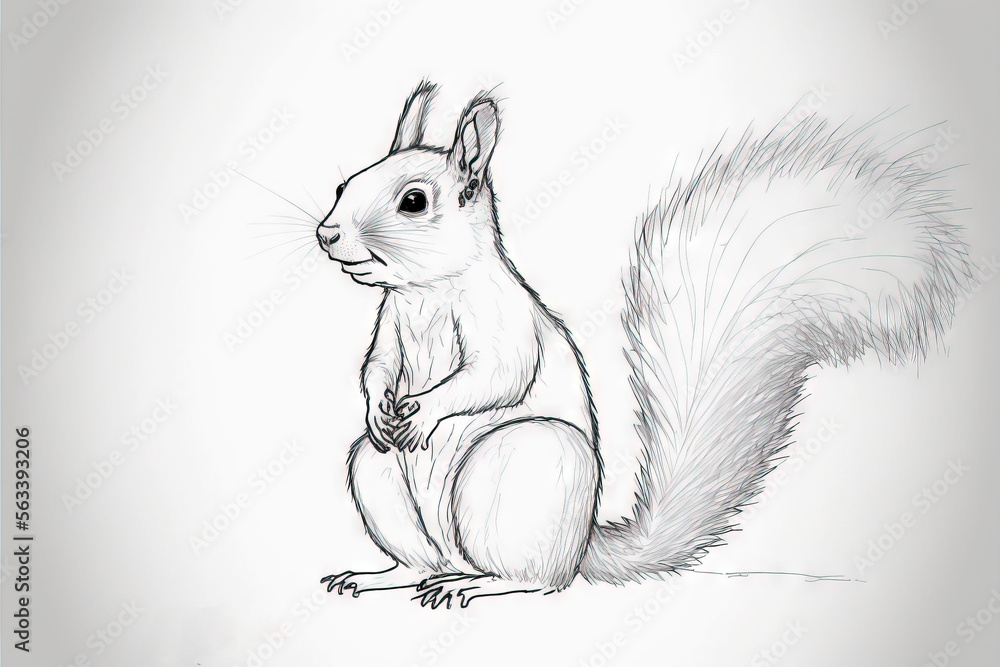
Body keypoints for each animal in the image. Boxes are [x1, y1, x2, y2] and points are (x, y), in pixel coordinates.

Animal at [316, 81, 970, 608]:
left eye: (414, 201)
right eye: (345, 182)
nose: (327, 234)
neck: (426, 294)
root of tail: (581, 545)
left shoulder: (503, 322)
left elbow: (497, 373)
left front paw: (424, 410)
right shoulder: (389, 326)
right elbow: (376, 368)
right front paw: (379, 406)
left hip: (521, 463)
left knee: (538, 580)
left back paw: (476, 584)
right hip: (376, 475)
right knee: (415, 554)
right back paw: (378, 575)